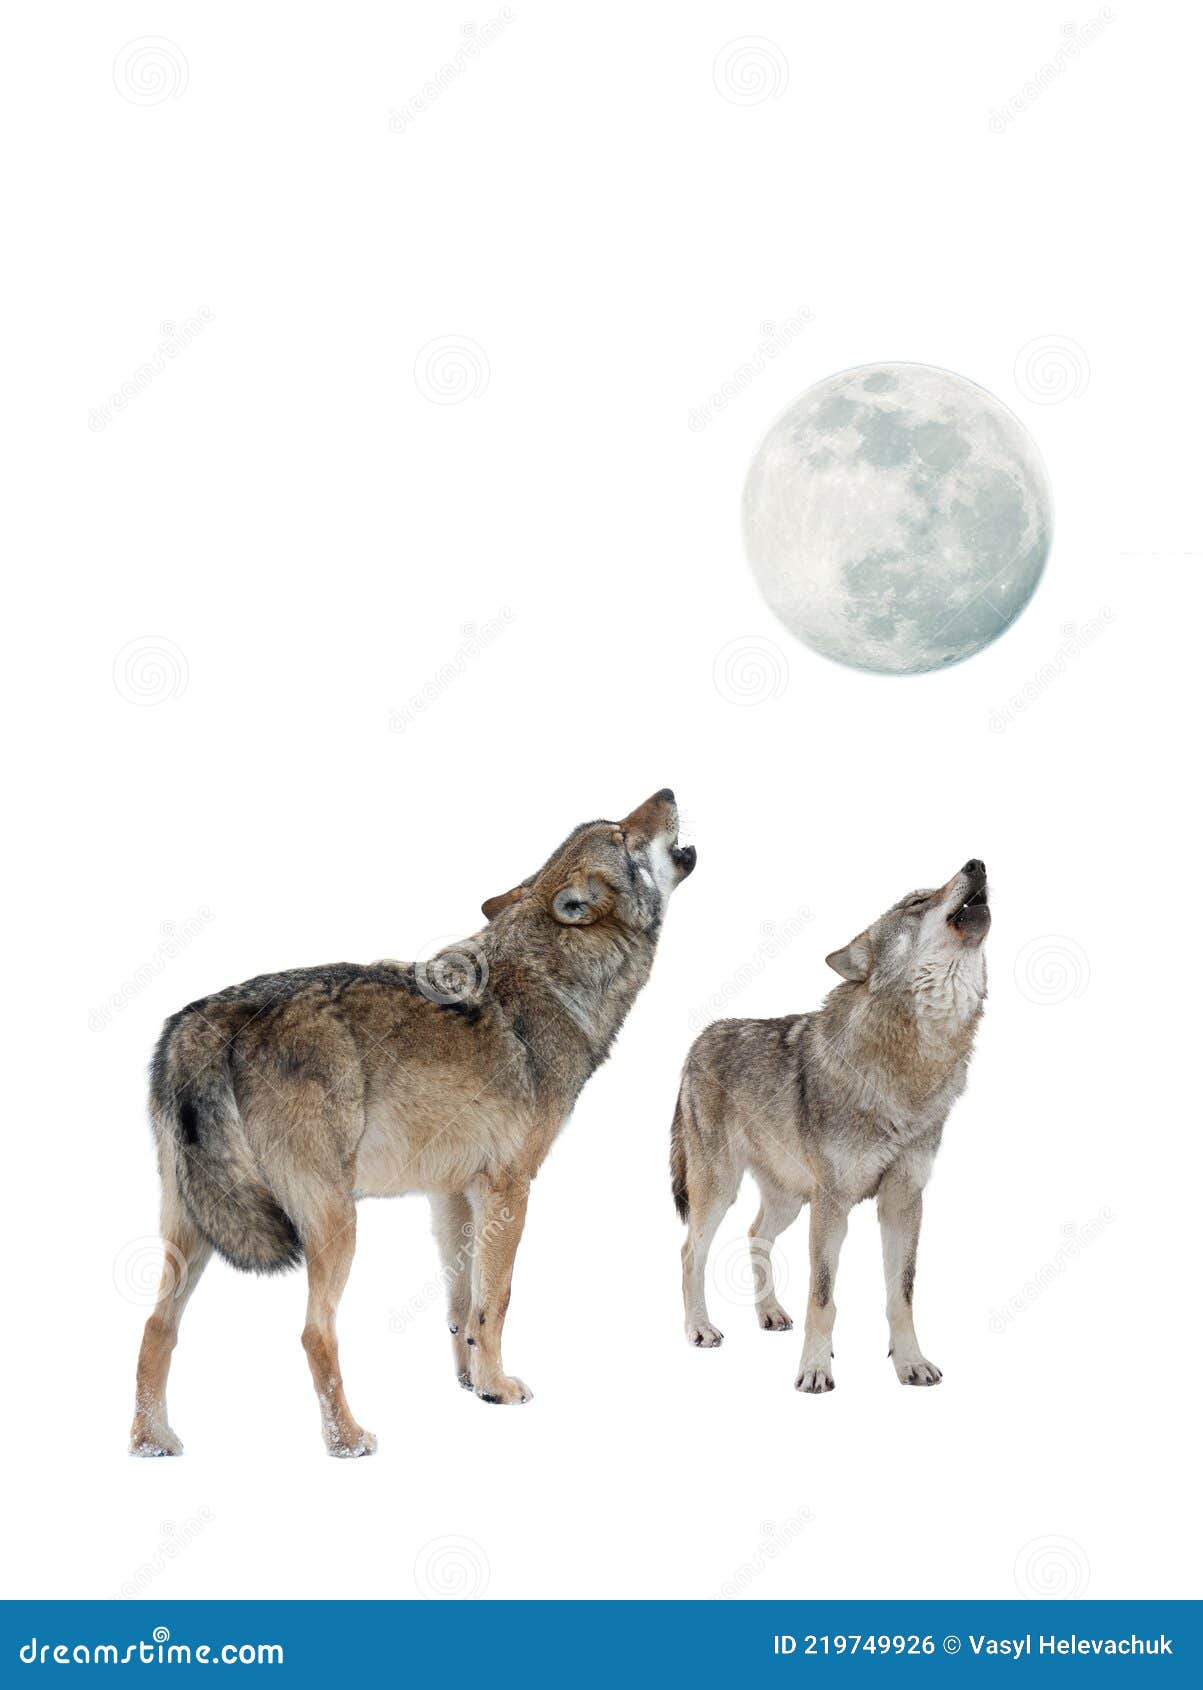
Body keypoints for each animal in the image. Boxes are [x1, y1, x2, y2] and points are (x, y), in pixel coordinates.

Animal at [130, 790, 695, 1457]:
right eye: (622, 834)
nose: (666, 791)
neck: (555, 983)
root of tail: (199, 1017)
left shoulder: (452, 1192)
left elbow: (461, 1306)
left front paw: (471, 1383)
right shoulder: (509, 1188)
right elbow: (496, 1301)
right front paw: (500, 1389)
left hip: (195, 1227)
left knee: (155, 1327)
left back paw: (150, 1441)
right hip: (334, 1223)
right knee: (313, 1332)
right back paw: (348, 1440)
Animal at [670, 860, 988, 1392]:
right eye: (916, 903)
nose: (976, 864)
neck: (911, 1063)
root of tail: (699, 1040)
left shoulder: (903, 1200)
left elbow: (901, 1295)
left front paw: (910, 1363)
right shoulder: (833, 1203)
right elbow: (822, 1298)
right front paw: (815, 1369)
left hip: (791, 1199)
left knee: (754, 1235)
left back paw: (769, 1313)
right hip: (722, 1190)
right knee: (690, 1251)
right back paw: (699, 1328)